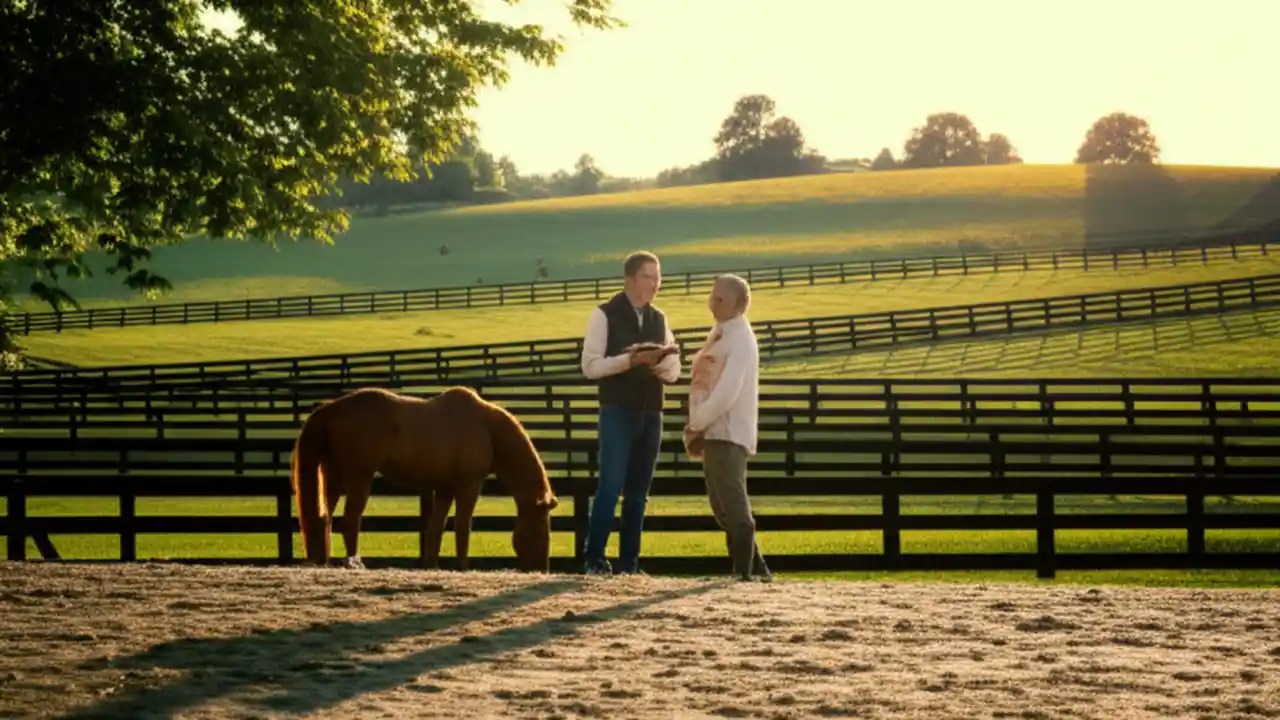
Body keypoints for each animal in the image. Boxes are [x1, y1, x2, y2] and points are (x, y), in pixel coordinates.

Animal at [289, 386, 557, 572]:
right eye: (541, 530)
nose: (541, 569)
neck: (487, 429)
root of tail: (331, 409)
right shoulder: (468, 485)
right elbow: (463, 526)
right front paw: (462, 567)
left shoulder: (445, 488)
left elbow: (435, 527)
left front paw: (431, 564)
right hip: (359, 475)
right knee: (350, 518)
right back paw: (355, 563)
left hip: (333, 476)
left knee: (324, 517)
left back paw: (325, 561)